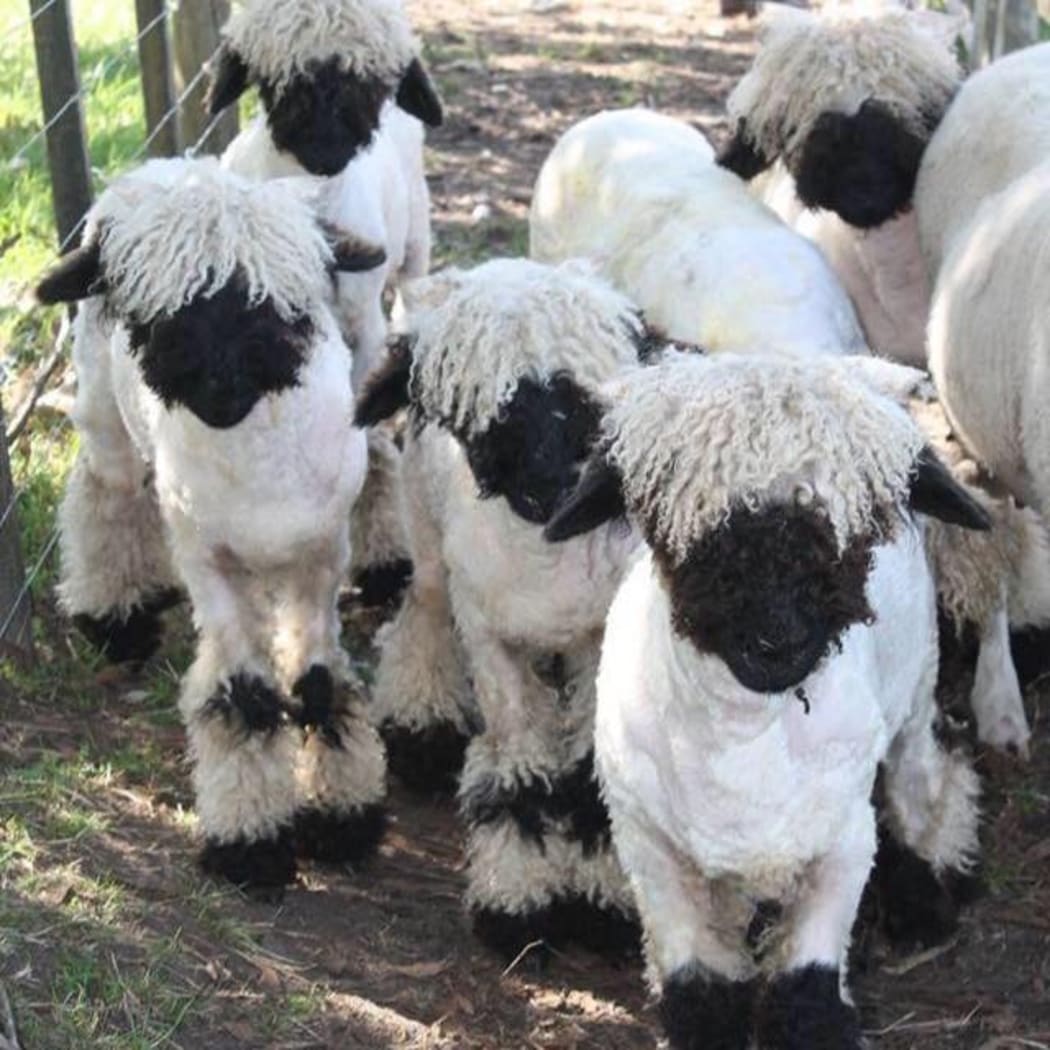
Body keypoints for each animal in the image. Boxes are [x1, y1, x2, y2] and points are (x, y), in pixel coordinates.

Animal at [36, 157, 389, 891]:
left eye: (273, 304)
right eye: (157, 312)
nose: (219, 382)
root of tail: (175, 165)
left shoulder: (323, 553)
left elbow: (318, 684)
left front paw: (341, 816)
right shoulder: (210, 561)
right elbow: (244, 697)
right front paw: (251, 841)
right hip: (103, 406)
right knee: (106, 494)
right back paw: (115, 615)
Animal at [207, 0, 445, 605]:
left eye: (372, 83)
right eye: (274, 81)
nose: (324, 146)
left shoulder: (360, 327)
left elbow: (367, 436)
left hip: (416, 246)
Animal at [355, 258, 646, 953]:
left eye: (579, 399)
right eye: (473, 416)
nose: (550, 488)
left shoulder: (599, 638)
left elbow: (593, 770)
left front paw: (605, 903)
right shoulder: (491, 639)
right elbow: (518, 765)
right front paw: (518, 902)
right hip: (430, 540)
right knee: (423, 614)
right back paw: (422, 725)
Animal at [545, 350, 986, 1050]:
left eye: (854, 530)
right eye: (692, 532)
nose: (778, 638)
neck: (744, 743)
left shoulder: (844, 840)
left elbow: (807, 984)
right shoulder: (647, 846)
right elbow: (698, 986)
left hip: (916, 683)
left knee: (922, 779)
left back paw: (923, 901)